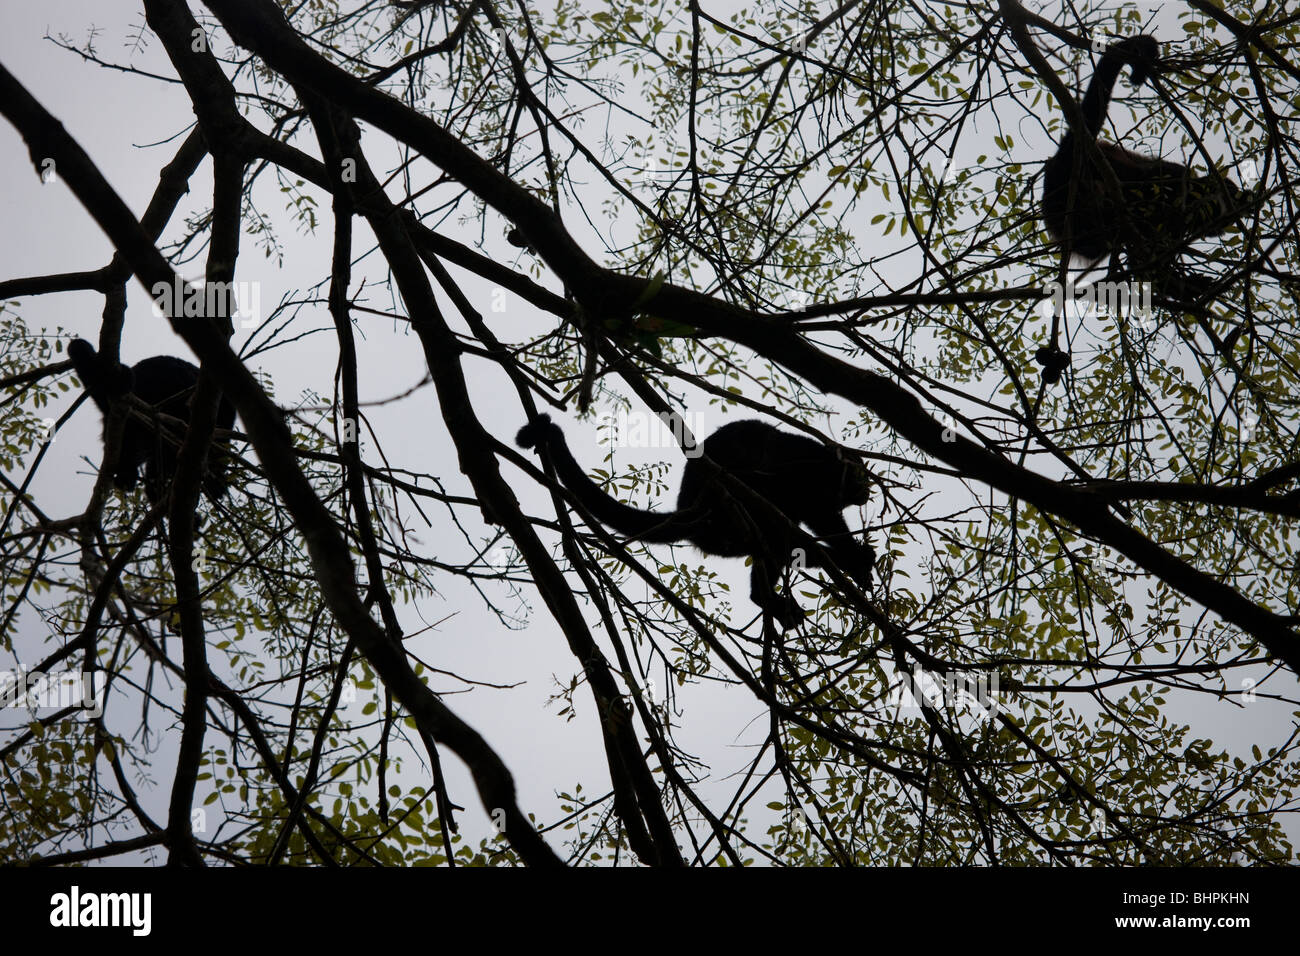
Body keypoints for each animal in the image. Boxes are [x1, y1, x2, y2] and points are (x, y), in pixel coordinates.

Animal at [516, 414, 876, 629]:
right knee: (768, 499)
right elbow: (820, 513)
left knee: (777, 546)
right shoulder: (811, 474)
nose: (869, 491)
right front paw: (853, 553)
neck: (830, 467)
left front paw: (854, 560)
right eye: (862, 476)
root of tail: (689, 508)